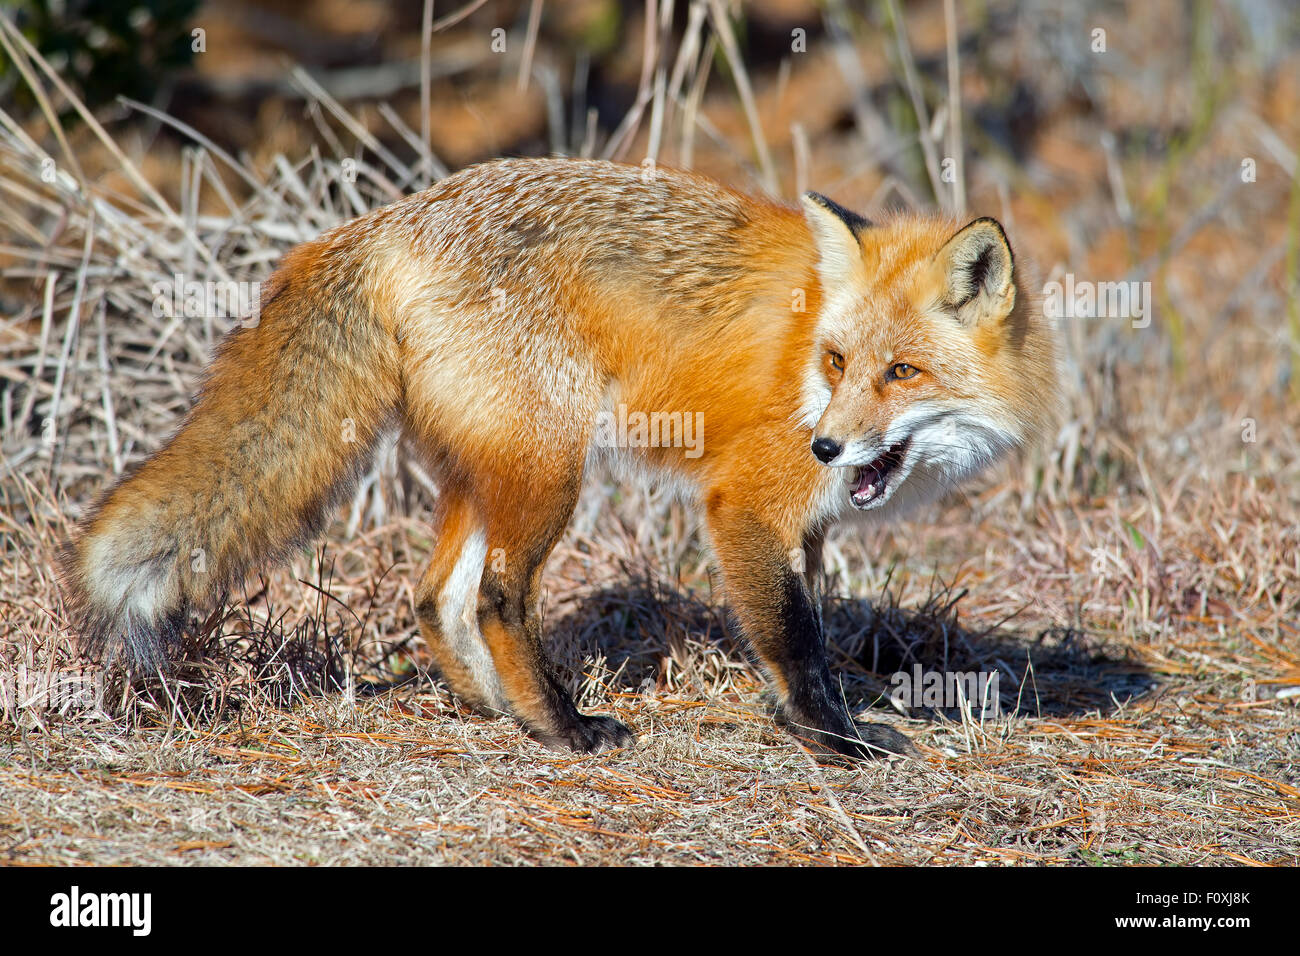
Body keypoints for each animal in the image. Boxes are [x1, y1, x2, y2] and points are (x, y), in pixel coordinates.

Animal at [60, 157, 1059, 759]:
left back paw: (493, 708)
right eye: (839, 362)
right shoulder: (748, 501)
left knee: (434, 595)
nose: (827, 442)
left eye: (901, 371)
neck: (805, 357)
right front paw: (832, 739)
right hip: (550, 471)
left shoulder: (806, 524)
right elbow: (793, 636)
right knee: (498, 596)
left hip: (489, 469)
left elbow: (806, 623)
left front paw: (834, 713)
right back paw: (560, 726)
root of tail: (391, 219)